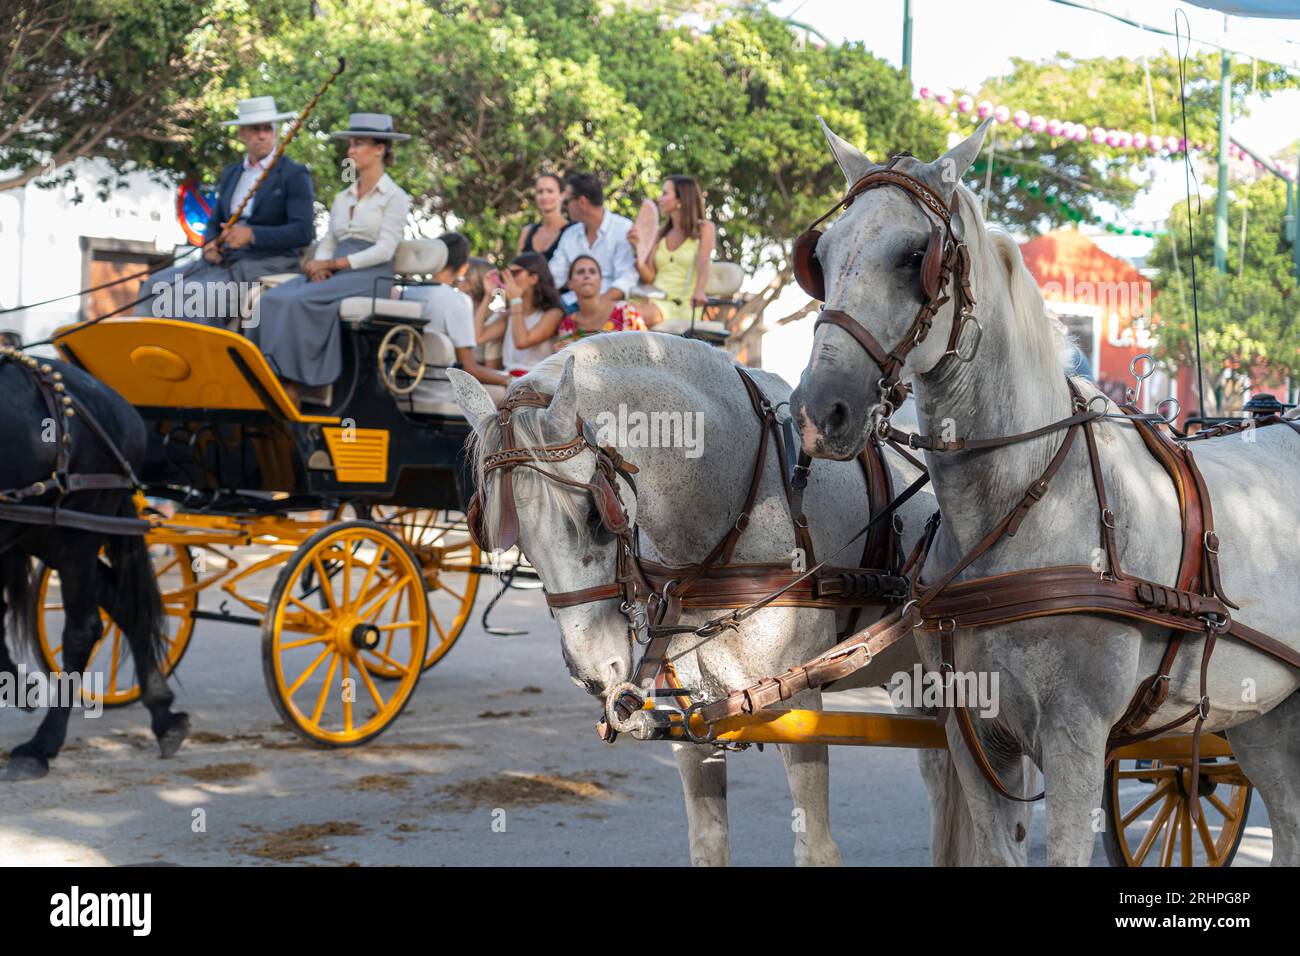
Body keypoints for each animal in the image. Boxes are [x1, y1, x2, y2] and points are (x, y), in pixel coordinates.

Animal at [0, 352, 189, 780]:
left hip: (76, 534)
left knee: (82, 631)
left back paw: (40, 745)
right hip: (46, 532)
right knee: (124, 605)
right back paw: (163, 714)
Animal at [451, 332, 1027, 865]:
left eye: (596, 518)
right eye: (517, 542)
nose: (596, 673)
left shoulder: (800, 704)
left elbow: (816, 848)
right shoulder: (690, 714)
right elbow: (709, 844)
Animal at [790, 118, 1300, 865]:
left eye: (916, 256)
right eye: (820, 258)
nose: (817, 411)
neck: (1022, 507)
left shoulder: (1075, 743)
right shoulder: (976, 738)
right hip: (1262, 713)